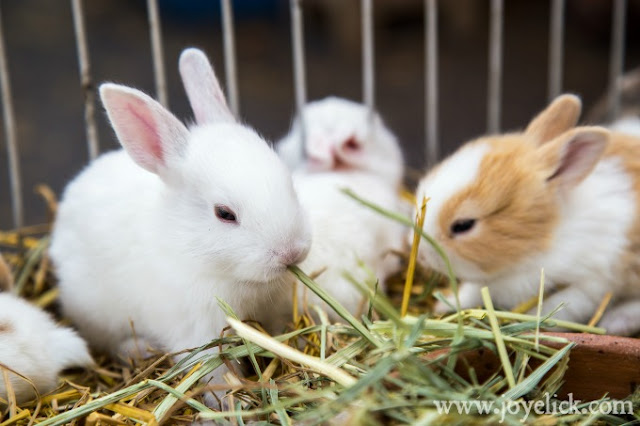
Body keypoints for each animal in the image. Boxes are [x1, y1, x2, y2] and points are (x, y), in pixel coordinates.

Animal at [49, 48, 311, 406]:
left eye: (290, 182)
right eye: (224, 213)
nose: (291, 254)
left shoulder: (273, 310)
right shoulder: (197, 333)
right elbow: (214, 372)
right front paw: (234, 402)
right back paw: (138, 349)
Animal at [413, 93, 640, 336]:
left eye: (464, 225)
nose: (422, 256)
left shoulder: (584, 286)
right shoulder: (485, 282)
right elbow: (471, 293)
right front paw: (441, 305)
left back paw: (617, 321)